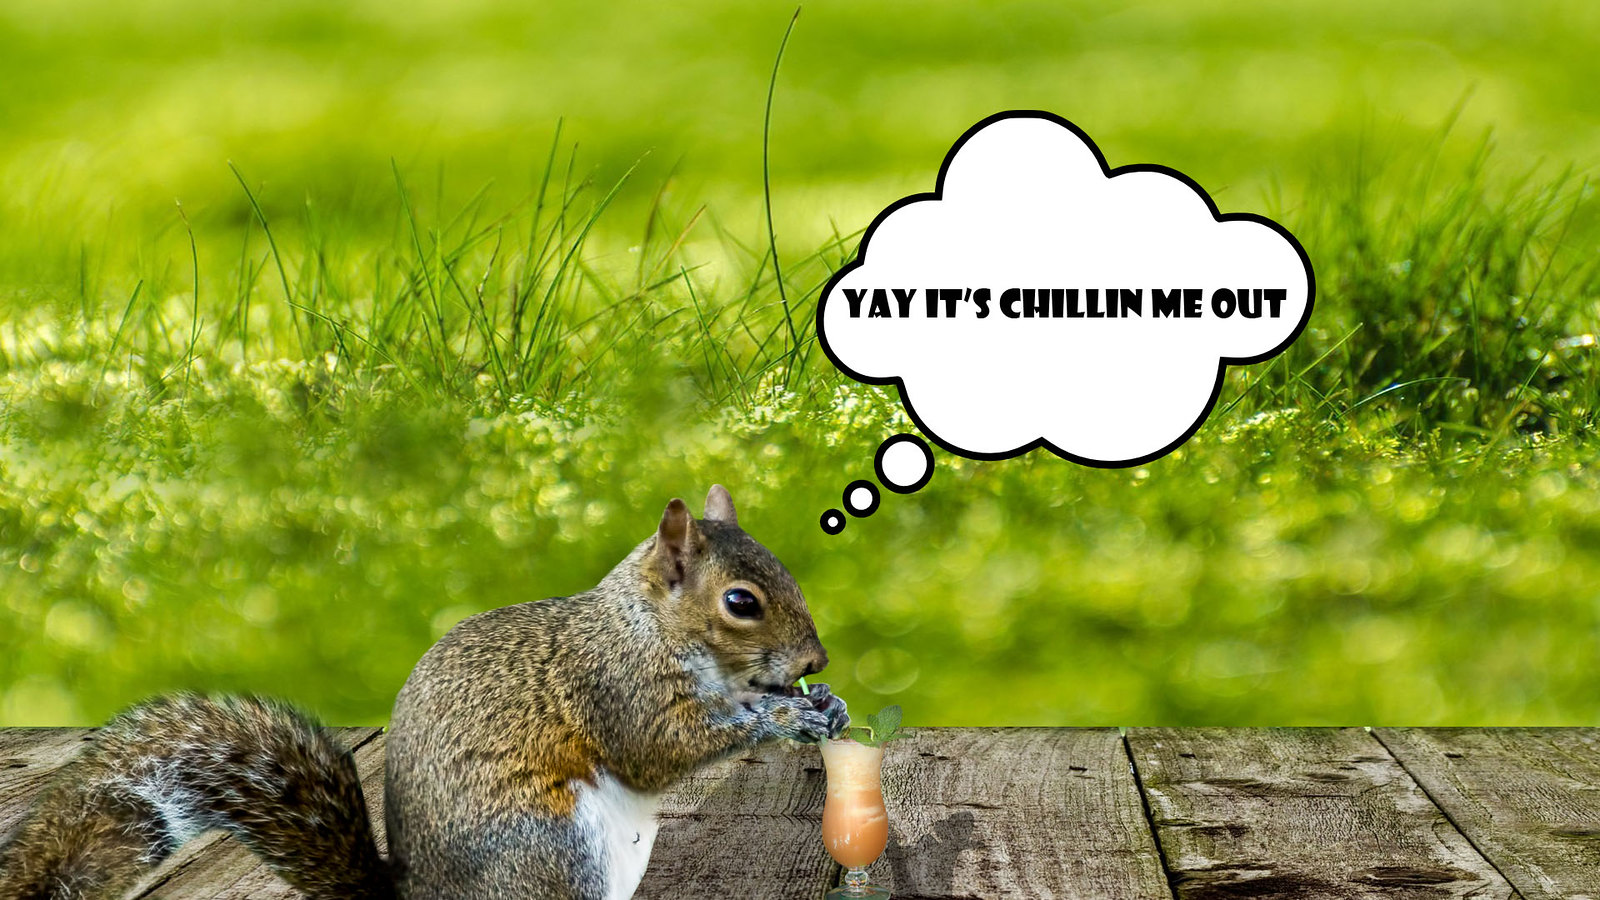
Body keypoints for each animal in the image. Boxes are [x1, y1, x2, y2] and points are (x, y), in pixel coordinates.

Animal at [0, 484, 849, 900]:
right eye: (740, 602)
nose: (817, 657)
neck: (648, 625)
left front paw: (827, 705)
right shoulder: (615, 686)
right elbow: (660, 749)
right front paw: (780, 715)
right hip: (551, 850)